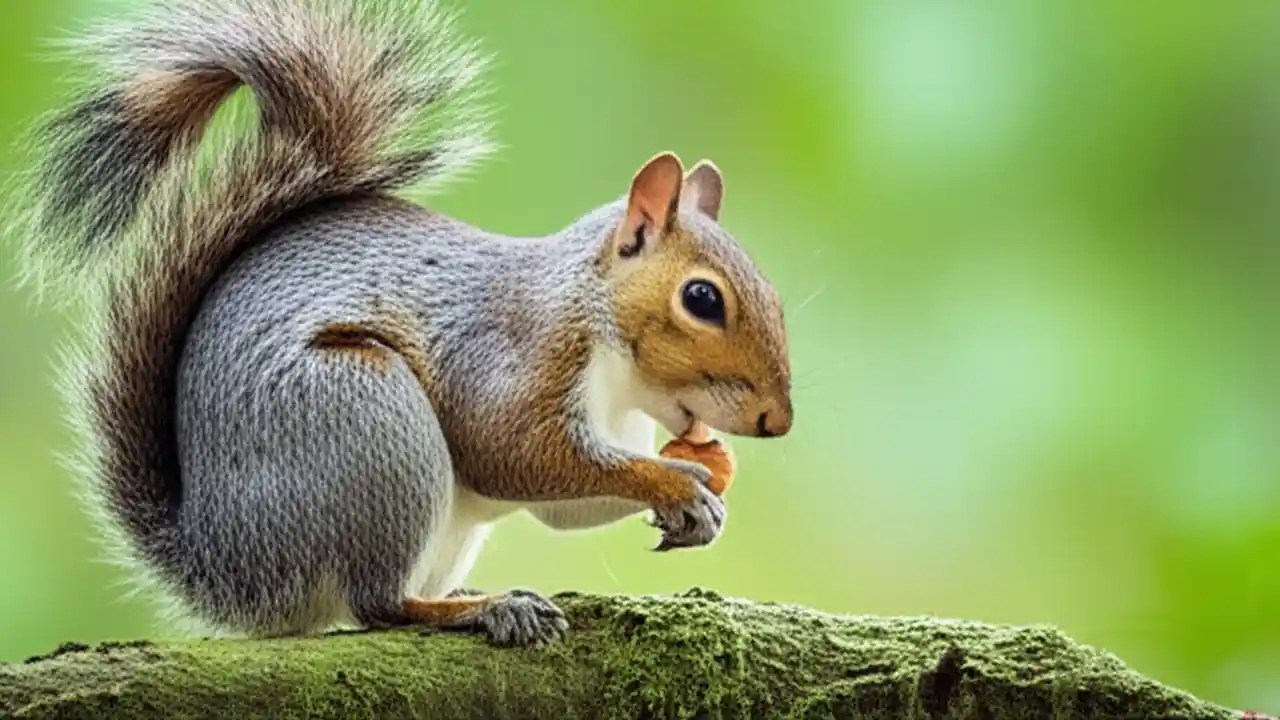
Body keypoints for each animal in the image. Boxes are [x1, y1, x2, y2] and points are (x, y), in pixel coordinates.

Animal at [14, 0, 792, 647]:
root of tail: (231, 569)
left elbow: (566, 507)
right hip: (368, 417)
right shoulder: (515, 355)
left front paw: (706, 479)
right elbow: (515, 452)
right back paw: (485, 609)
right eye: (702, 299)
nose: (775, 422)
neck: (611, 359)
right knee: (377, 604)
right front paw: (674, 481)